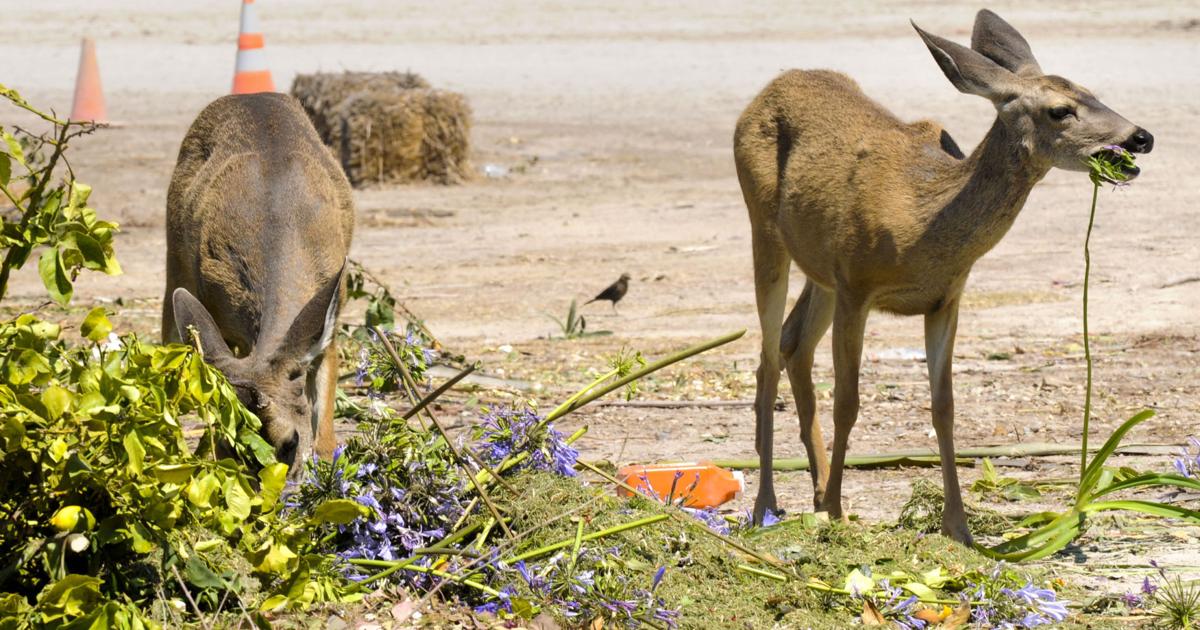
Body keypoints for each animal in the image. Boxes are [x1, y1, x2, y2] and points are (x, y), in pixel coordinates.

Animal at [163, 92, 355, 480]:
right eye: (227, 447)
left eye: (290, 443)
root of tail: (251, 96)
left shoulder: (329, 319)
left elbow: (325, 437)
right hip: (175, 263)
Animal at [734, 9, 1153, 544]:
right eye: (1061, 110)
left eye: (1092, 91)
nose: (1141, 137)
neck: (923, 223)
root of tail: (769, 88)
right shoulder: (856, 285)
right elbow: (848, 401)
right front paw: (837, 513)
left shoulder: (945, 299)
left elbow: (944, 407)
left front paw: (959, 527)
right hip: (766, 227)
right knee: (767, 359)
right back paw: (769, 505)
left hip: (819, 267)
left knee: (793, 343)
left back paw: (817, 491)